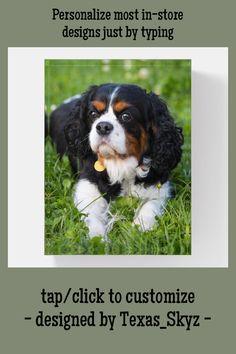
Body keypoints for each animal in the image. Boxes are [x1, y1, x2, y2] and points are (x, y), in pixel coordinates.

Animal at [49, 83, 183, 238]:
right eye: (93, 114)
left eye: (126, 116)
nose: (102, 126)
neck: (120, 162)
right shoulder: (87, 190)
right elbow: (93, 218)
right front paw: (98, 238)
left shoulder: (160, 187)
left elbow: (149, 206)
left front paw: (140, 229)